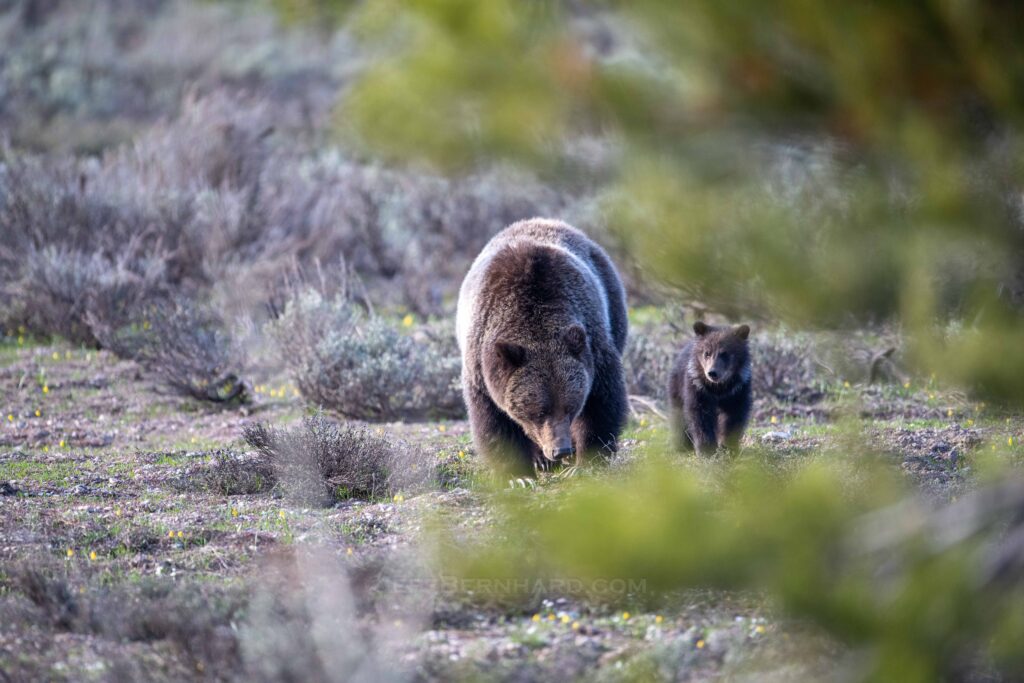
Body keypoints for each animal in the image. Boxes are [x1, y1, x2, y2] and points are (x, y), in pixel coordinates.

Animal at [456, 218, 629, 475]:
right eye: (538, 411)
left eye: (570, 406)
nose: (561, 450)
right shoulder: (481, 368)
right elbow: (494, 422)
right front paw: (518, 474)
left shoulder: (593, 346)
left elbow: (600, 405)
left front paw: (586, 461)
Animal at [668, 321, 752, 455]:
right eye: (707, 353)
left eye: (725, 354)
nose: (712, 372)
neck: (719, 388)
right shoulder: (698, 388)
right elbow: (700, 416)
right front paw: (706, 449)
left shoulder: (737, 390)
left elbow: (734, 417)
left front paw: (729, 447)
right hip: (677, 386)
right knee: (678, 415)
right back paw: (682, 446)